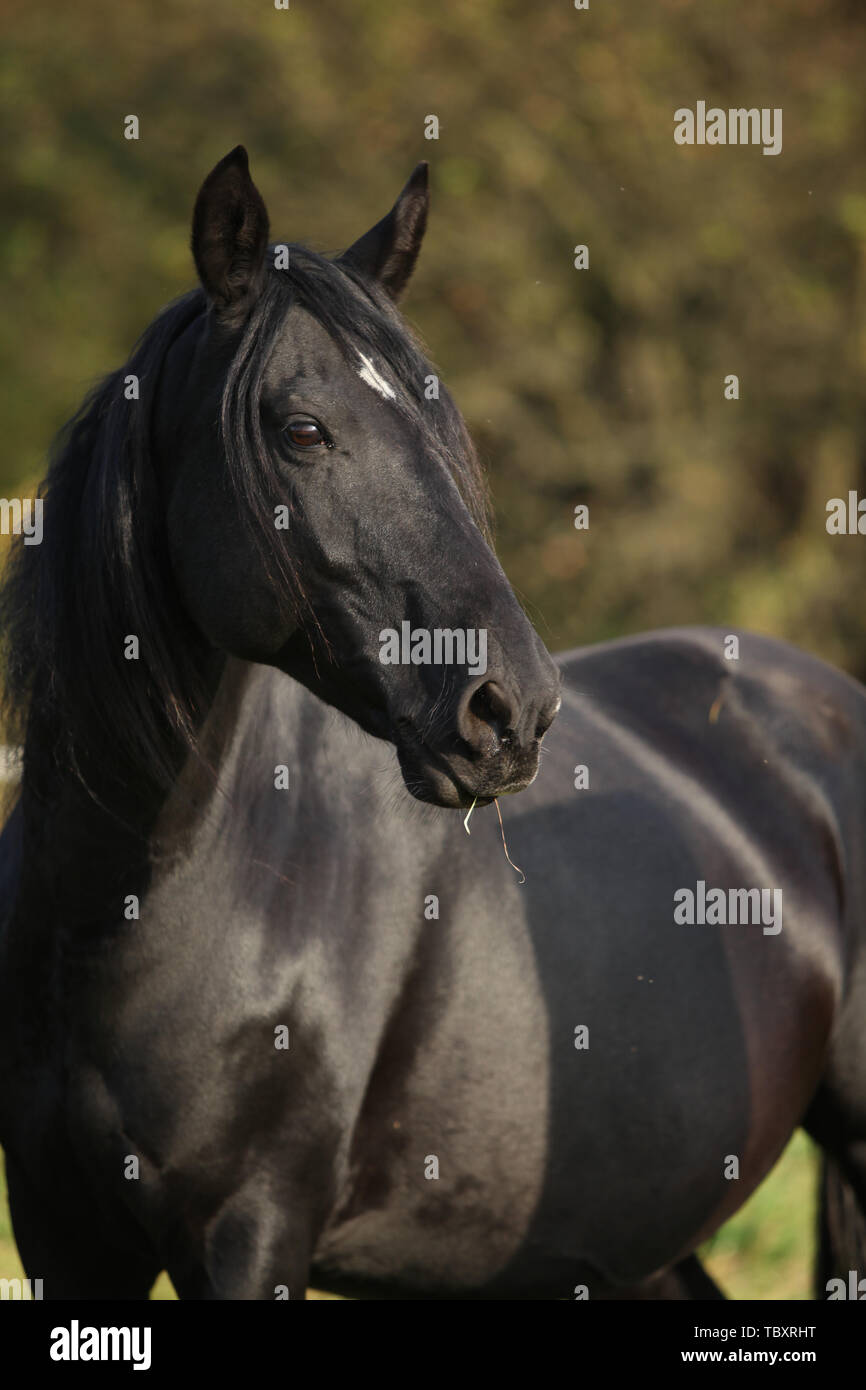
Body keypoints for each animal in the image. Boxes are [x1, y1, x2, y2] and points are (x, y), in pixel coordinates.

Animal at [0, 146, 864, 1301]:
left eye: (439, 420)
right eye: (302, 429)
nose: (513, 706)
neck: (116, 911)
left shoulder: (247, 1231)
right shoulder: (60, 1234)